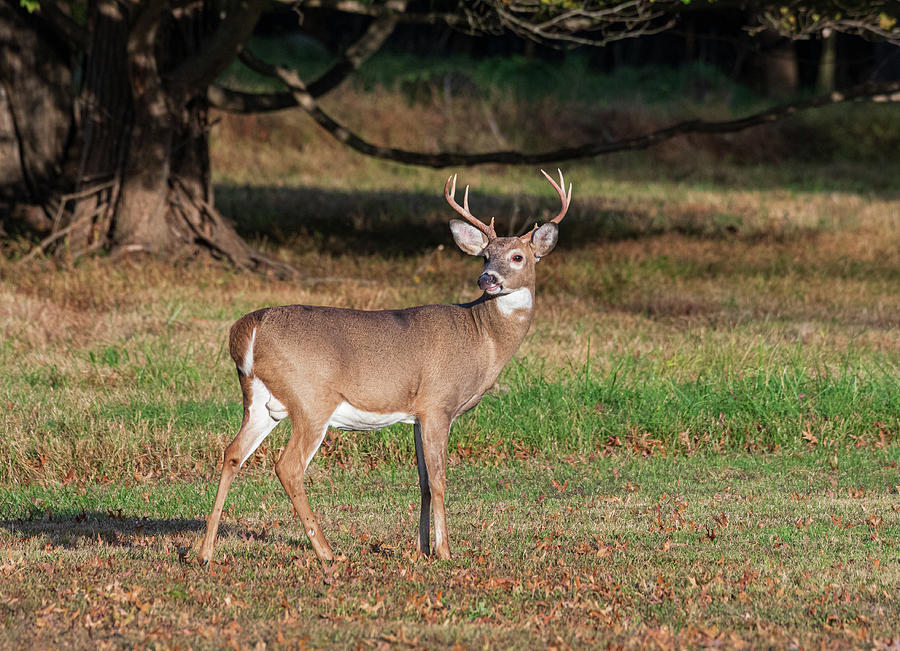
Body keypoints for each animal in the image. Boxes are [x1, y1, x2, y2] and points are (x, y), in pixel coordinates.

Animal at [197, 169, 572, 564]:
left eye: (517, 257)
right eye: (485, 255)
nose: (487, 279)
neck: (481, 337)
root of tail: (247, 329)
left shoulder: (418, 414)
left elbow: (423, 481)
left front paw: (422, 548)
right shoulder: (438, 403)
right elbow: (439, 479)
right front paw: (445, 552)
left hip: (262, 400)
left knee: (232, 453)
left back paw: (204, 552)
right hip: (311, 399)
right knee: (289, 467)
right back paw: (328, 553)